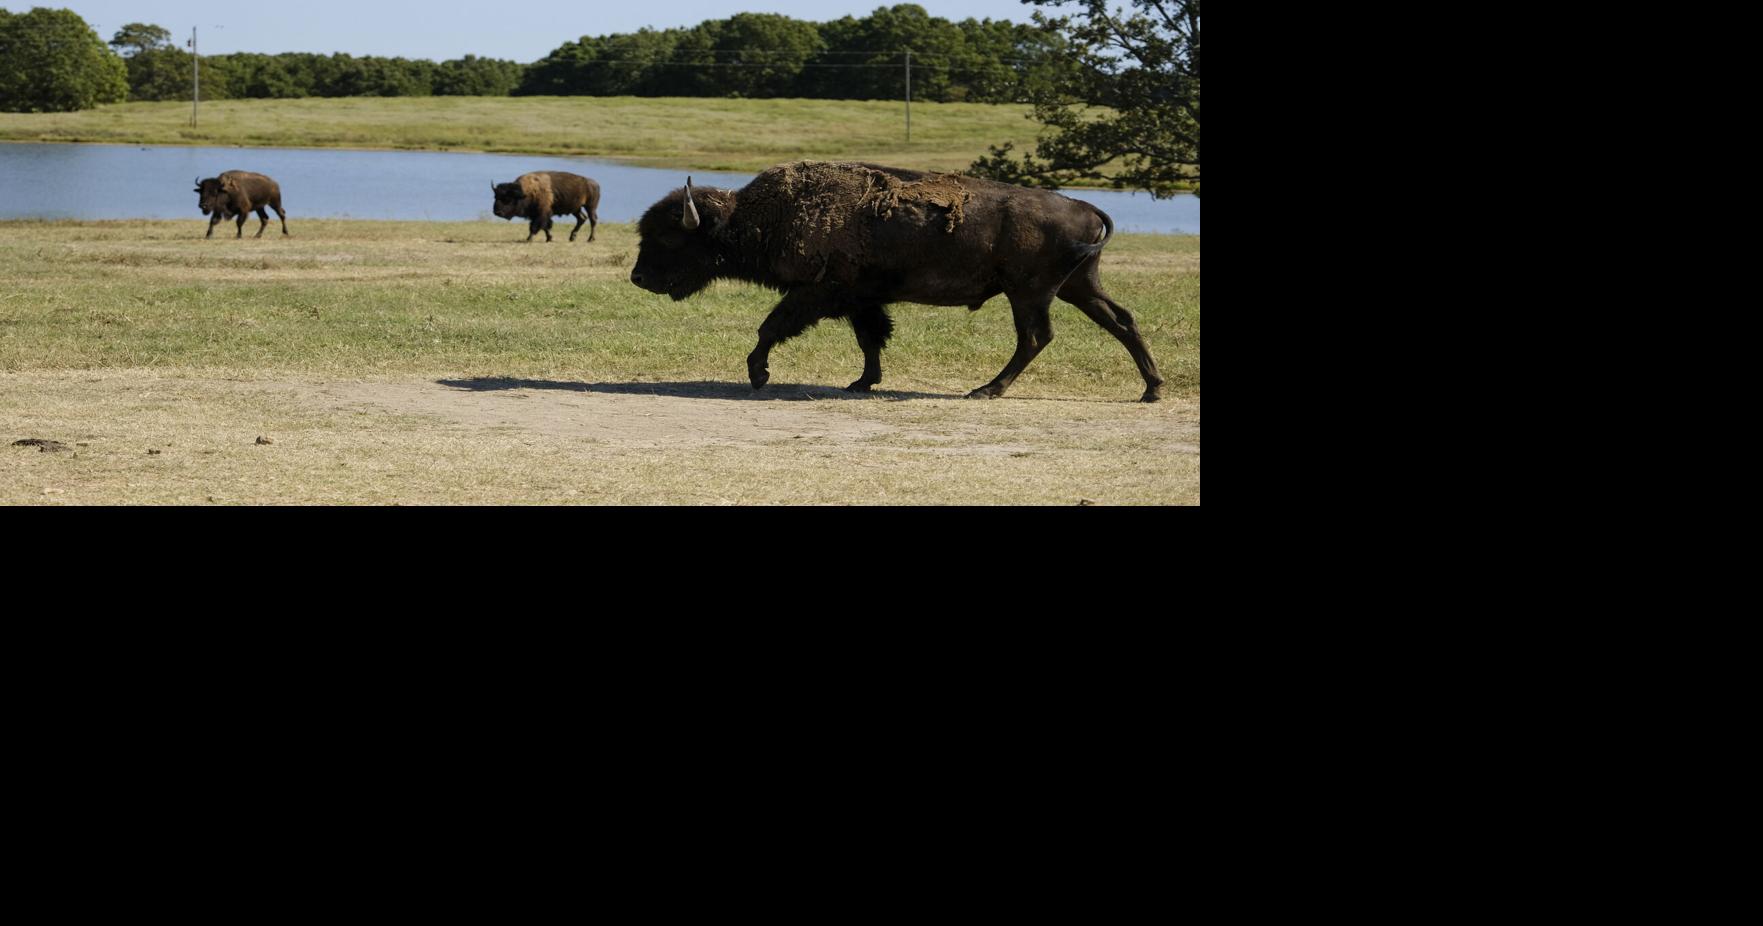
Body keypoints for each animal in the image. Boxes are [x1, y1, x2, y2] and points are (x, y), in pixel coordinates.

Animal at [629, 161, 1164, 402]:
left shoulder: (815, 294)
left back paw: (986, 390)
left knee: (1035, 336)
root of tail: (1085, 207)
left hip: (1030, 293)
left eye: (670, 237)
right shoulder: (861, 300)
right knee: (1121, 321)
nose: (637, 277)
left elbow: (771, 327)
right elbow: (871, 339)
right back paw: (1151, 389)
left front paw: (758, 374)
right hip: (1077, 288)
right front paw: (862, 382)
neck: (762, 214)